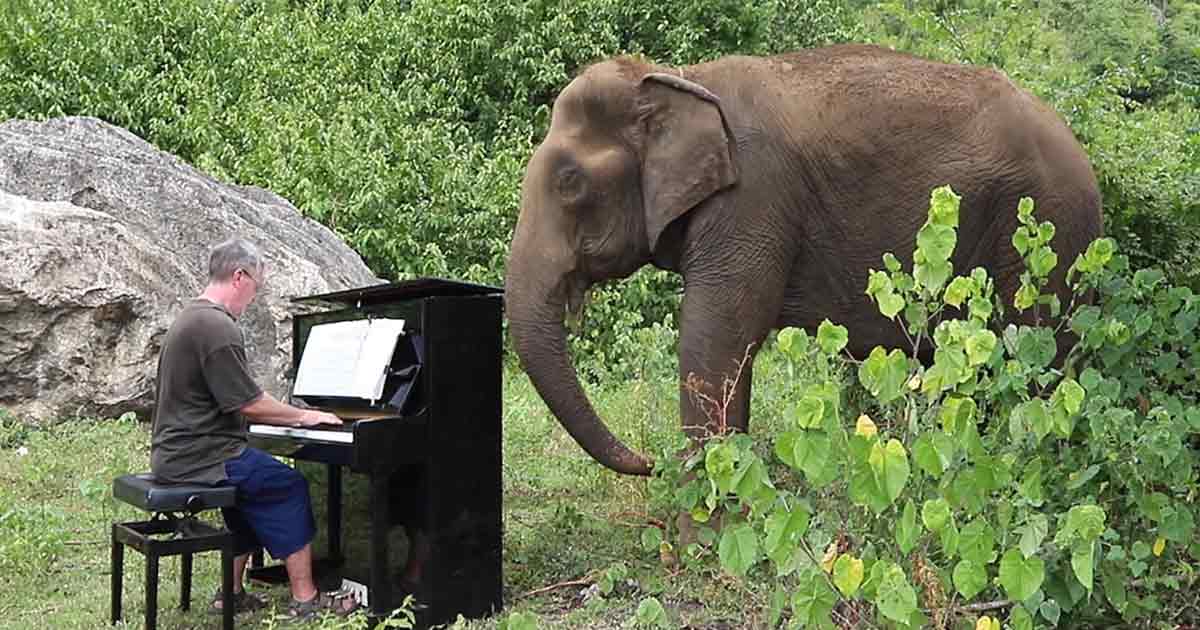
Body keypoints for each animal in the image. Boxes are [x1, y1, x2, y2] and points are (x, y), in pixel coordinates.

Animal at [504, 44, 1103, 475]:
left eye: (569, 182)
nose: (651, 462)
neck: (676, 77)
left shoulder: (754, 199)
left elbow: (714, 338)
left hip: (1046, 231)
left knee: (1035, 357)